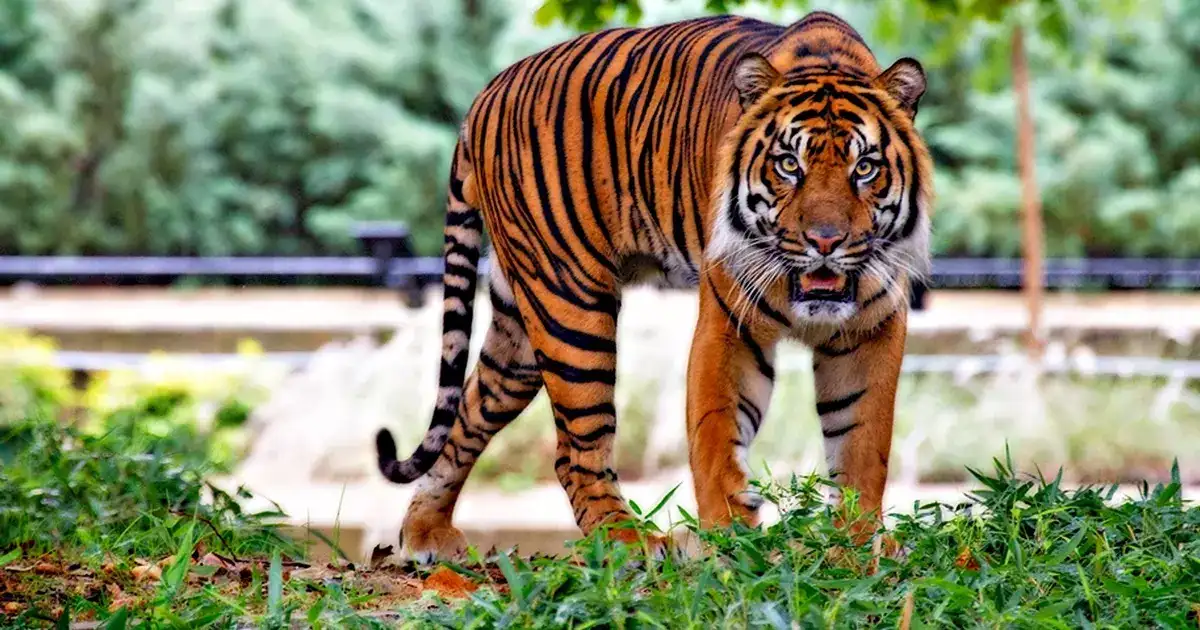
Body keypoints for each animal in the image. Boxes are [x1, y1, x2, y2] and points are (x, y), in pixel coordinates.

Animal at [375, 10, 933, 562]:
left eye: (865, 168)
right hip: (571, 306)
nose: (825, 241)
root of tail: (486, 93)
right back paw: (630, 541)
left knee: (468, 413)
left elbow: (862, 444)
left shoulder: (872, 329)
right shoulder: (729, 324)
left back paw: (425, 532)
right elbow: (717, 436)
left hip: (520, 333)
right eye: (789, 165)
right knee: (574, 450)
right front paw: (732, 544)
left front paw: (855, 545)